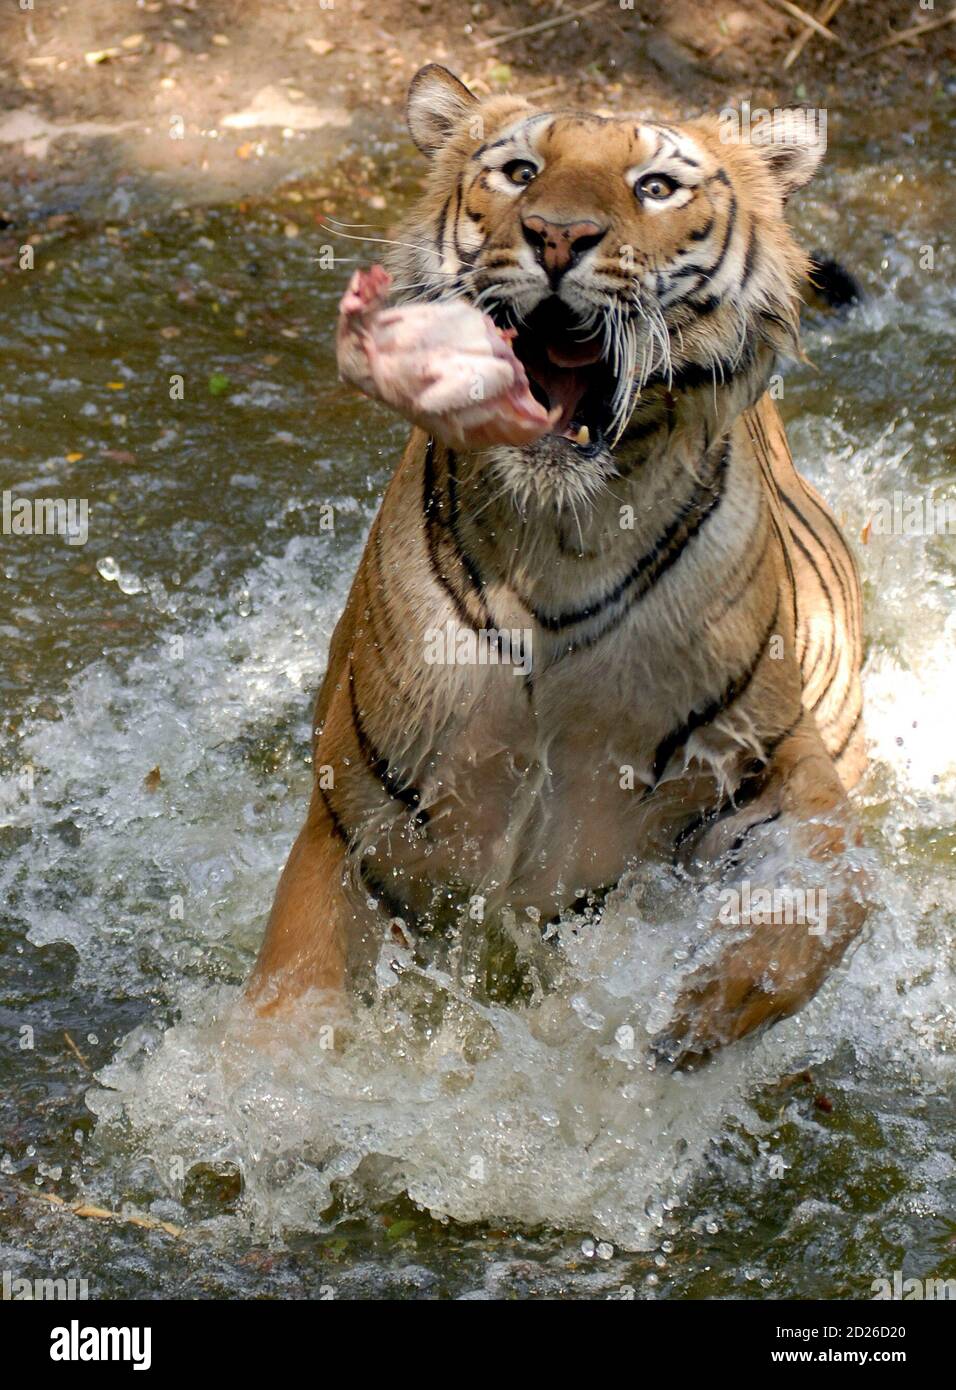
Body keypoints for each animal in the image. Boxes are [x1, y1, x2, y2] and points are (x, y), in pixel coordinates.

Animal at [247, 64, 868, 1065]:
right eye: (520, 172)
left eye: (655, 186)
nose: (557, 236)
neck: (560, 544)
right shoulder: (360, 817)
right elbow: (292, 988)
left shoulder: (768, 761)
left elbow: (833, 892)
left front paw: (707, 1010)